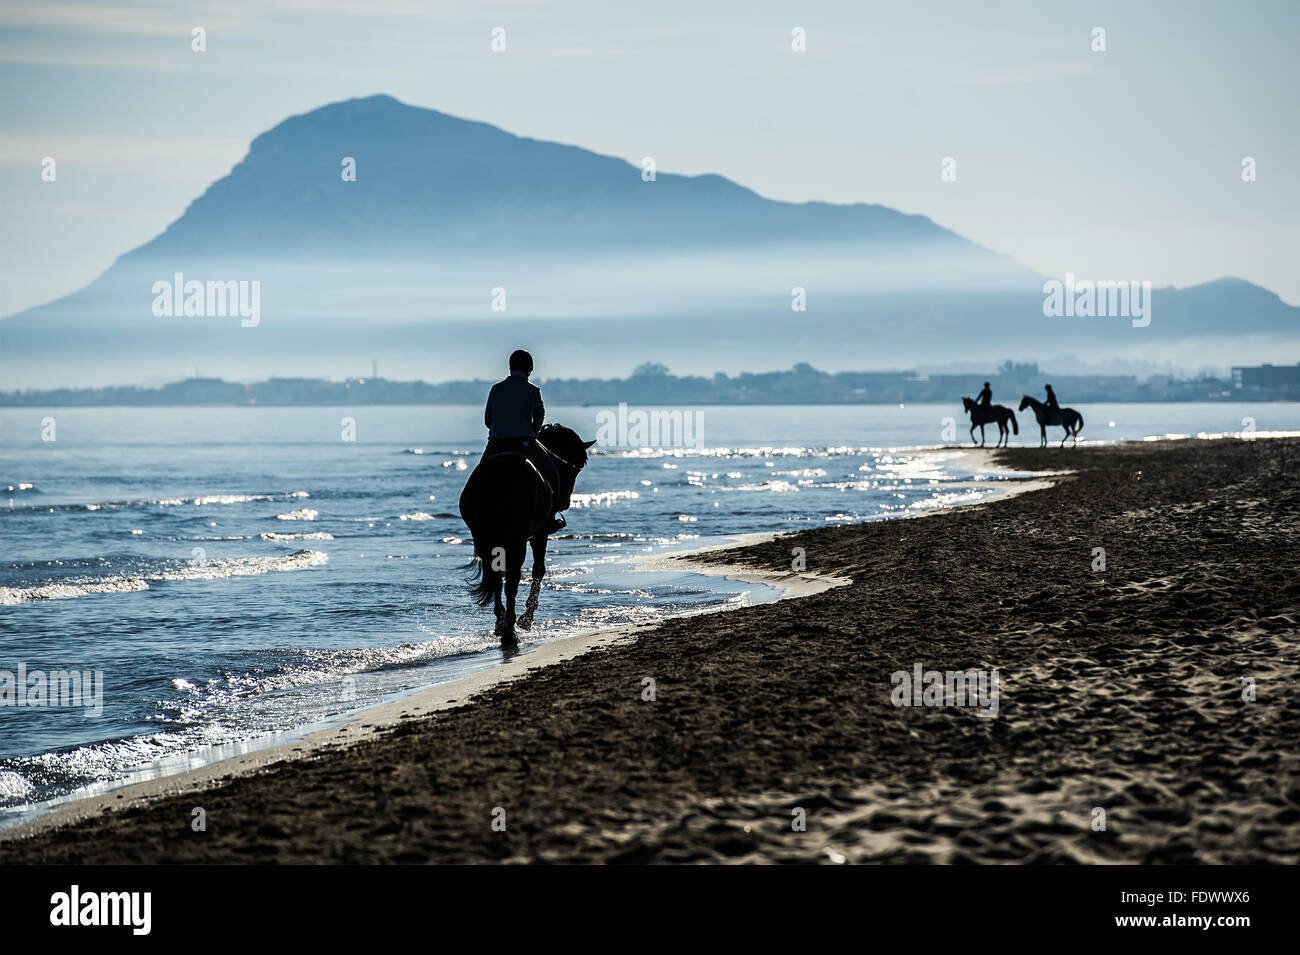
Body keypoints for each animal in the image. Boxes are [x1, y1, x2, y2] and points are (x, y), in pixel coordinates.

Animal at [459, 424, 594, 647]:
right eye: (577, 467)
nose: (566, 502)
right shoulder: (540, 534)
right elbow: (539, 570)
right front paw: (527, 619)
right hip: (517, 540)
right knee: (511, 581)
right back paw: (510, 632)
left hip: (486, 539)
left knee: (497, 579)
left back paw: (501, 625)